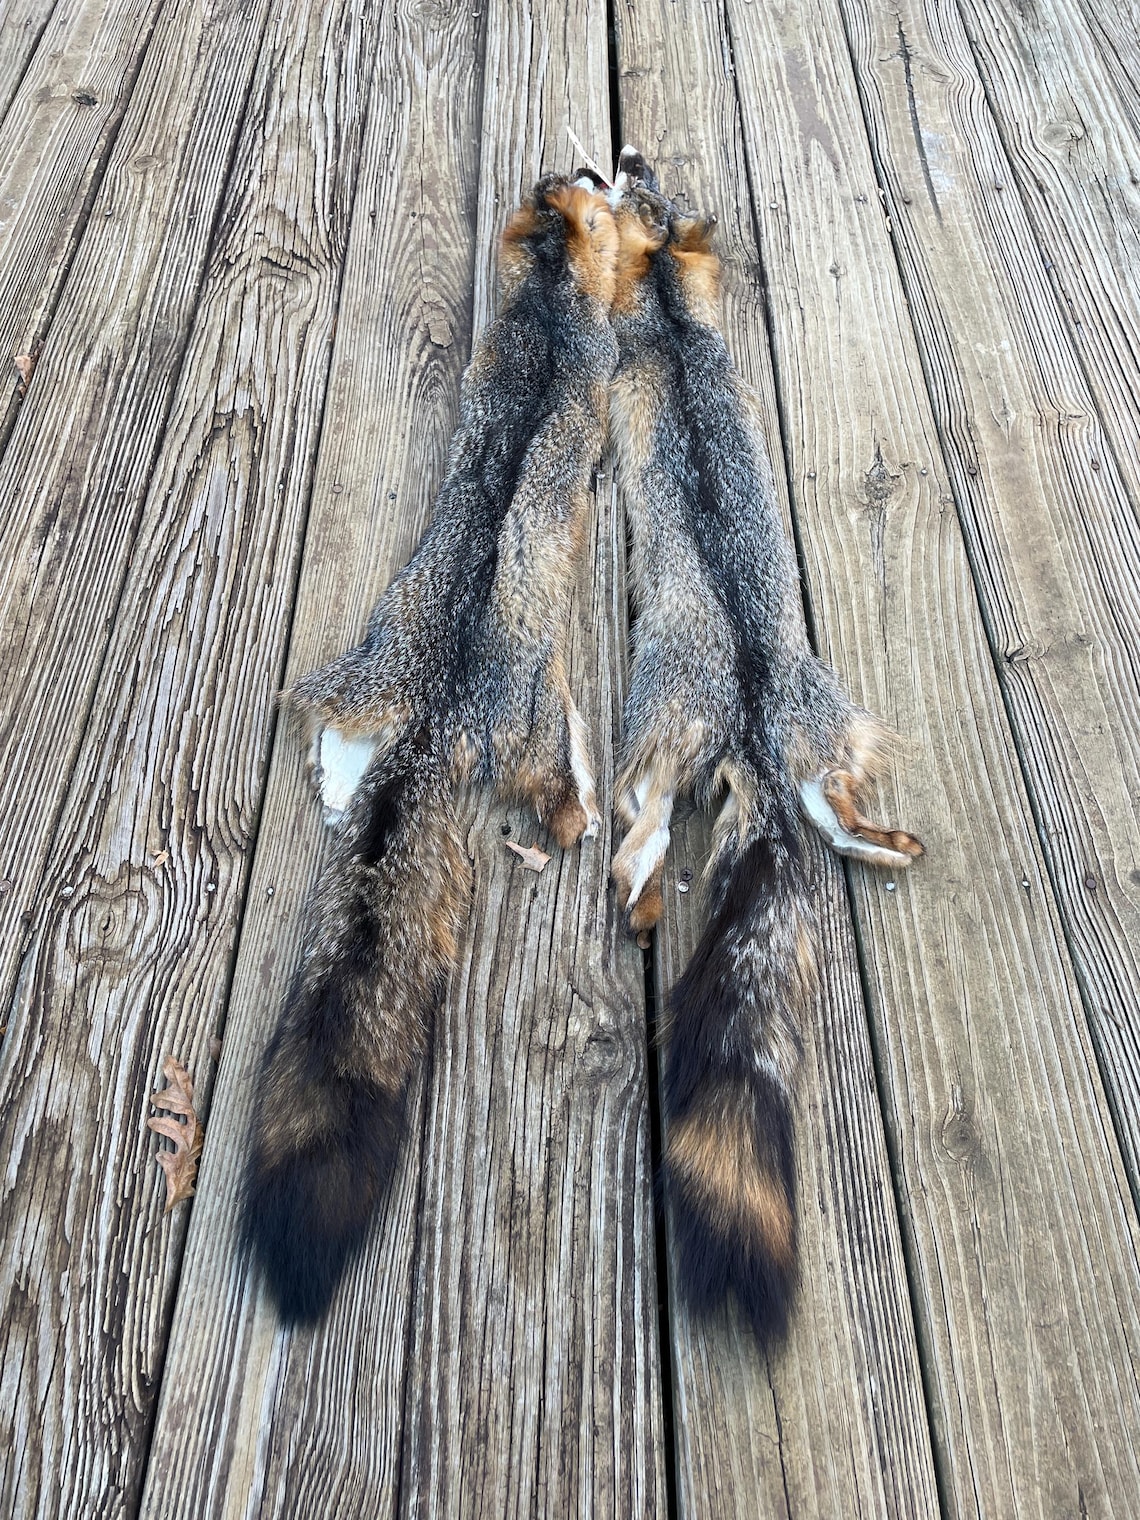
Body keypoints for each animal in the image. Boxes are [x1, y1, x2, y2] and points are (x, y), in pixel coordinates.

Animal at [244, 176, 620, 1322]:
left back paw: (336, 784)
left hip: (358, 677)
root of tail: (438, 715)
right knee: (558, 790)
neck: (548, 301)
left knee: (332, 741)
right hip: (543, 719)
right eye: (589, 187)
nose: (594, 175)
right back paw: (574, 820)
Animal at [603, 148, 923, 1338]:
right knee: (836, 812)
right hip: (821, 730)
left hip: (655, 718)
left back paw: (637, 882)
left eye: (629, 182)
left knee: (641, 820)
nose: (626, 154)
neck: (662, 304)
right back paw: (879, 841)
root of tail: (746, 691)